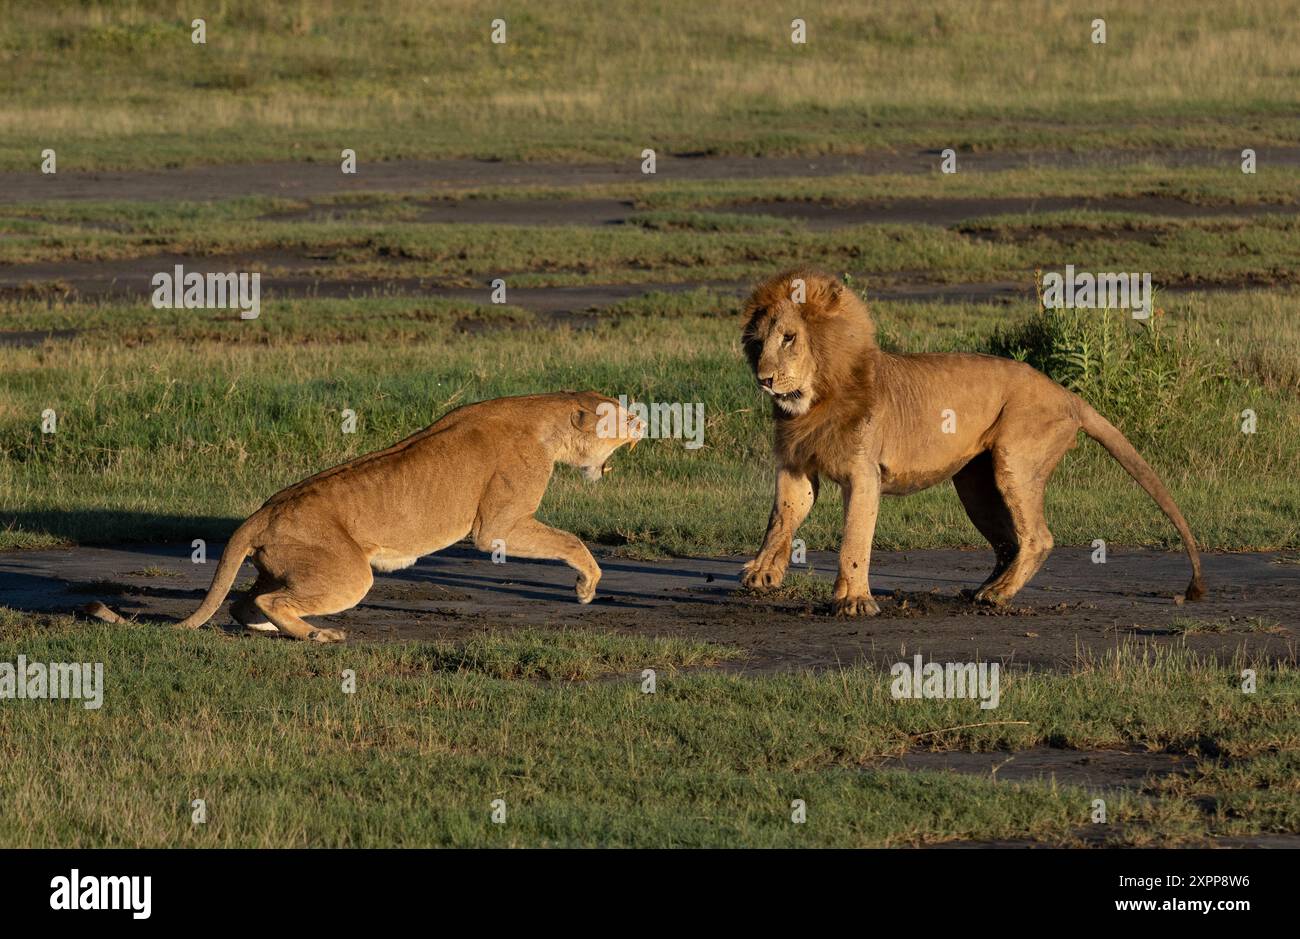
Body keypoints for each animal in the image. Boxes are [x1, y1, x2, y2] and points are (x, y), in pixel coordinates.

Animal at [175, 391, 644, 641]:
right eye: (622, 416)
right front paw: (586, 586)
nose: (643, 422)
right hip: (349, 574)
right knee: (268, 600)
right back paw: (318, 634)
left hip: (282, 568)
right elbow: (571, 541)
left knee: (243, 602)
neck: (545, 416)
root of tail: (263, 511)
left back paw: (283, 628)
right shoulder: (497, 528)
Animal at [738, 269, 1205, 615]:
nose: (763, 380)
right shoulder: (797, 466)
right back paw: (982, 590)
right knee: (1008, 541)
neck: (816, 397)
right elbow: (781, 518)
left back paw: (998, 595)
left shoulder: (864, 473)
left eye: (789, 338)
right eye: (758, 343)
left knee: (1038, 537)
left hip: (1017, 460)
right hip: (975, 483)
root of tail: (1067, 395)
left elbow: (854, 538)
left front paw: (853, 601)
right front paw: (762, 572)